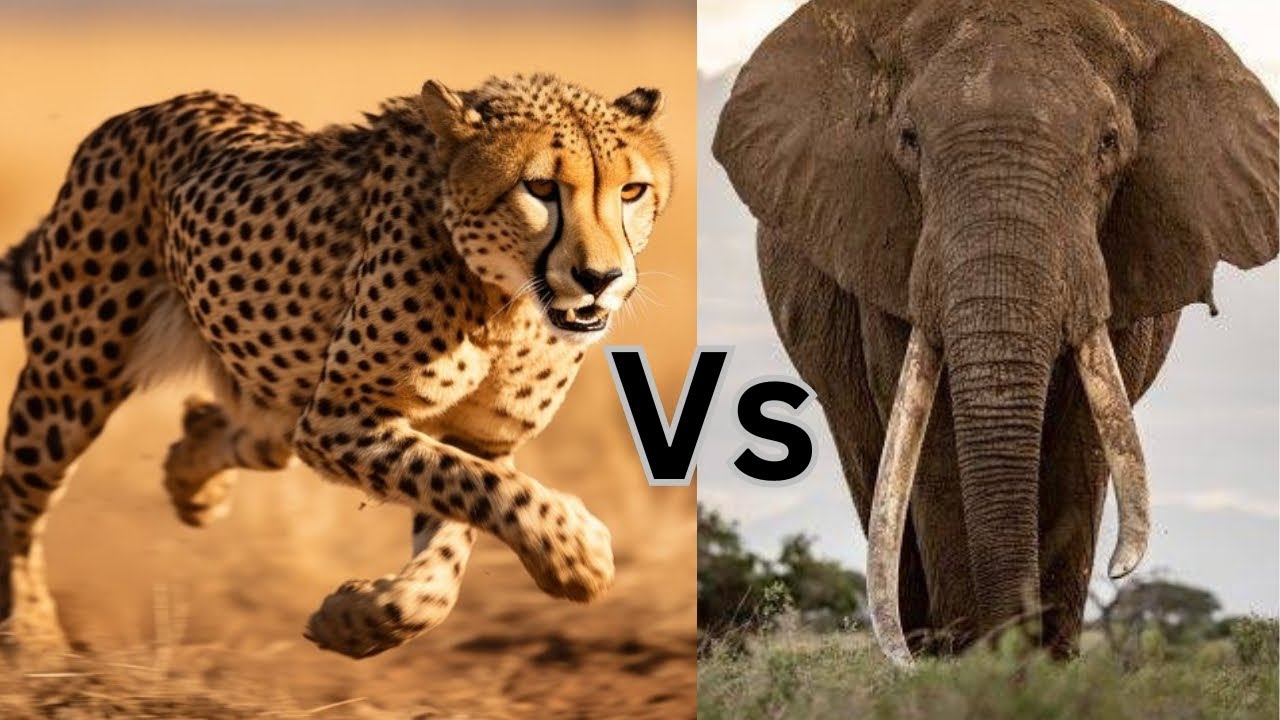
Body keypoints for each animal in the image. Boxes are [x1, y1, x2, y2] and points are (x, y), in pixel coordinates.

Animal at [0, 73, 672, 662]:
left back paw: (192, 474)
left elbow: (454, 538)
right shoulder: (339, 418)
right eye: (540, 188)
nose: (601, 278)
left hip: (274, 384)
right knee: (19, 501)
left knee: (245, 432)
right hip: (71, 378)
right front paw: (577, 557)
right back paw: (30, 632)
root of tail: (137, 115)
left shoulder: (473, 437)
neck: (507, 304)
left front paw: (358, 622)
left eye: (631, 192)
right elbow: (491, 491)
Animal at [713, 0, 1277, 663]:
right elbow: (934, 441)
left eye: (1109, 143)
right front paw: (972, 668)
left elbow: (1081, 440)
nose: (1123, 570)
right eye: (909, 140)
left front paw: (1037, 667)